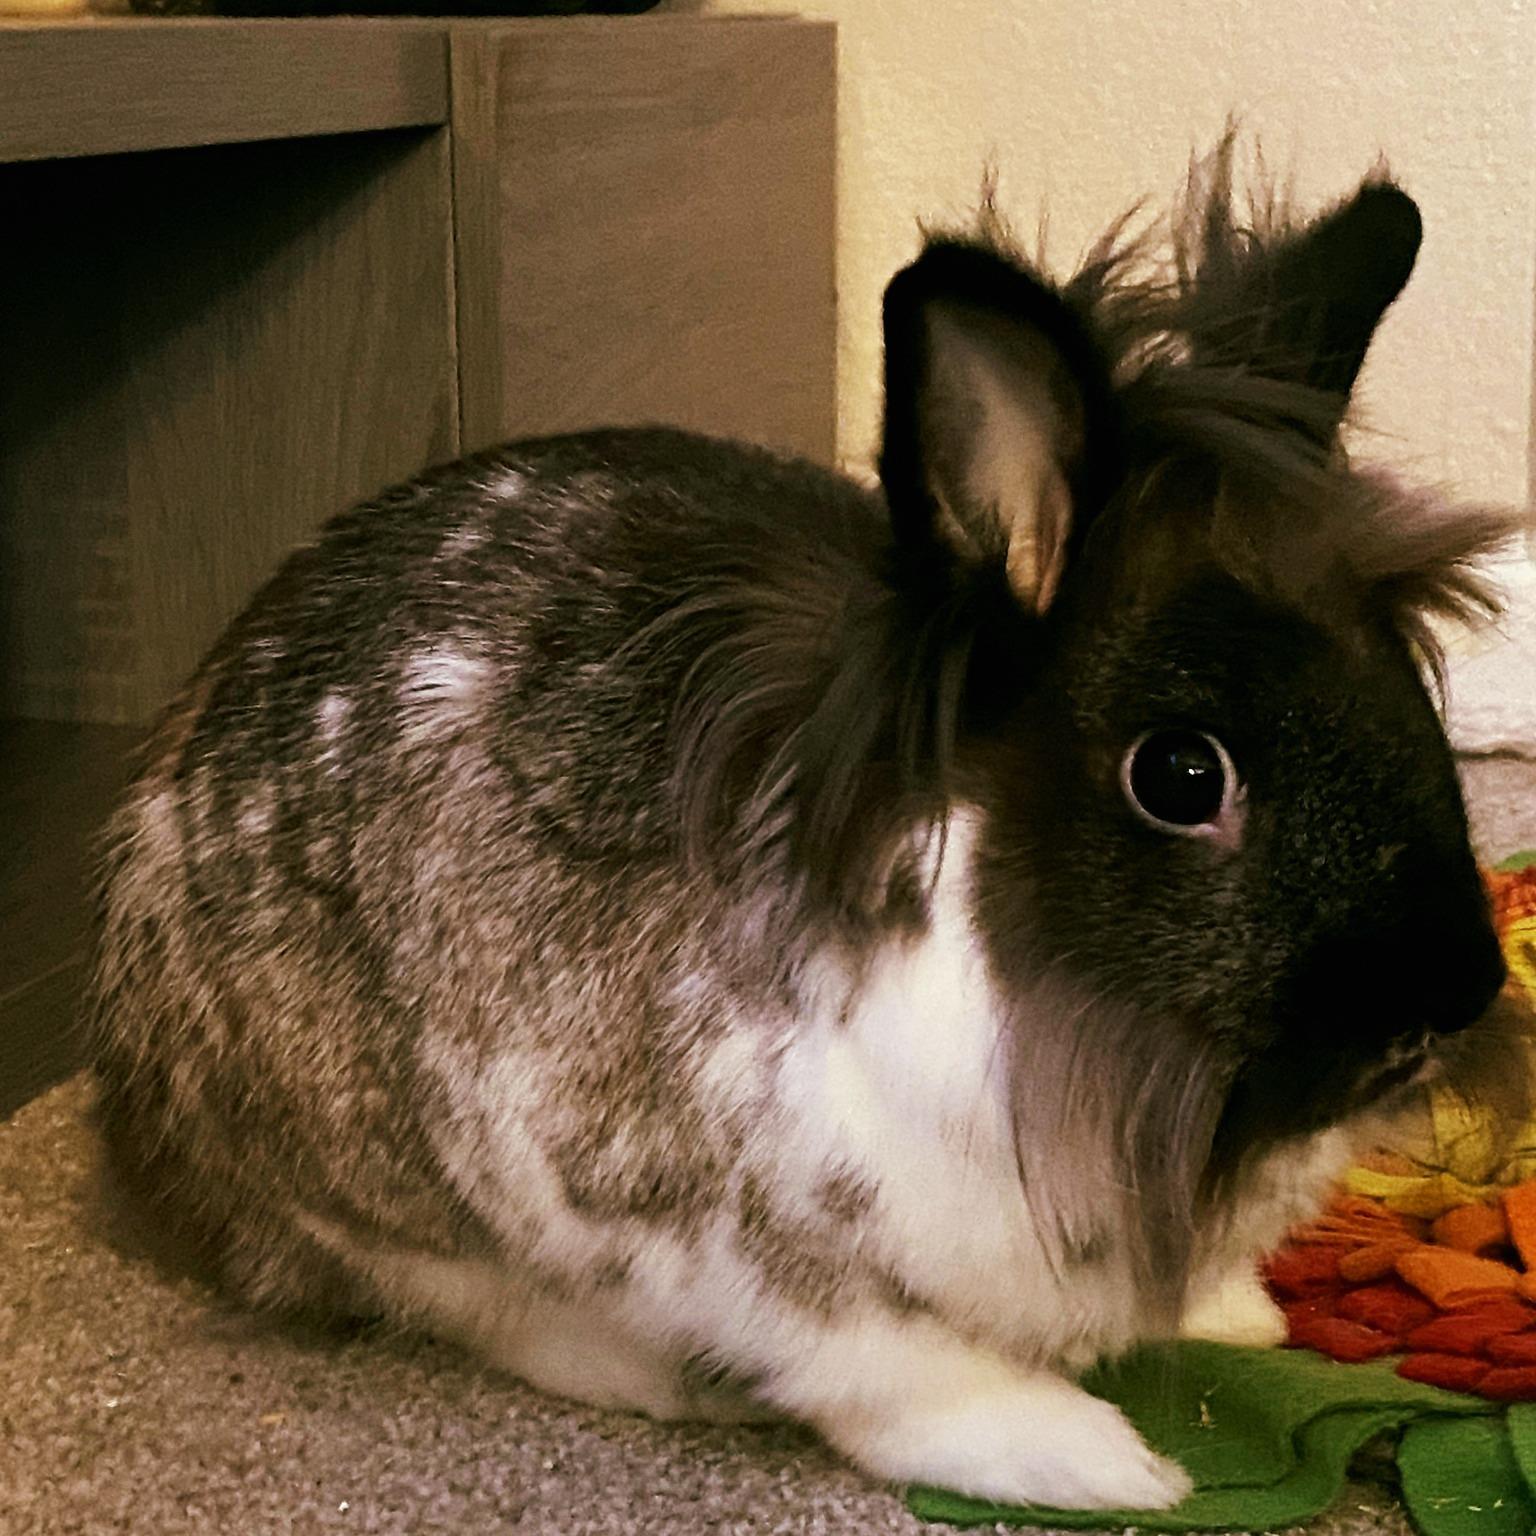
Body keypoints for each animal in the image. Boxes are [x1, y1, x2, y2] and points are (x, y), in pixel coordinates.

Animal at [87, 143, 1527, 1512]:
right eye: (1179, 775)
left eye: (1407, 687)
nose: (1441, 1006)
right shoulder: (736, 1242)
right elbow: (908, 1377)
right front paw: (1101, 1463)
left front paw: (1240, 1318)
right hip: (383, 1188)